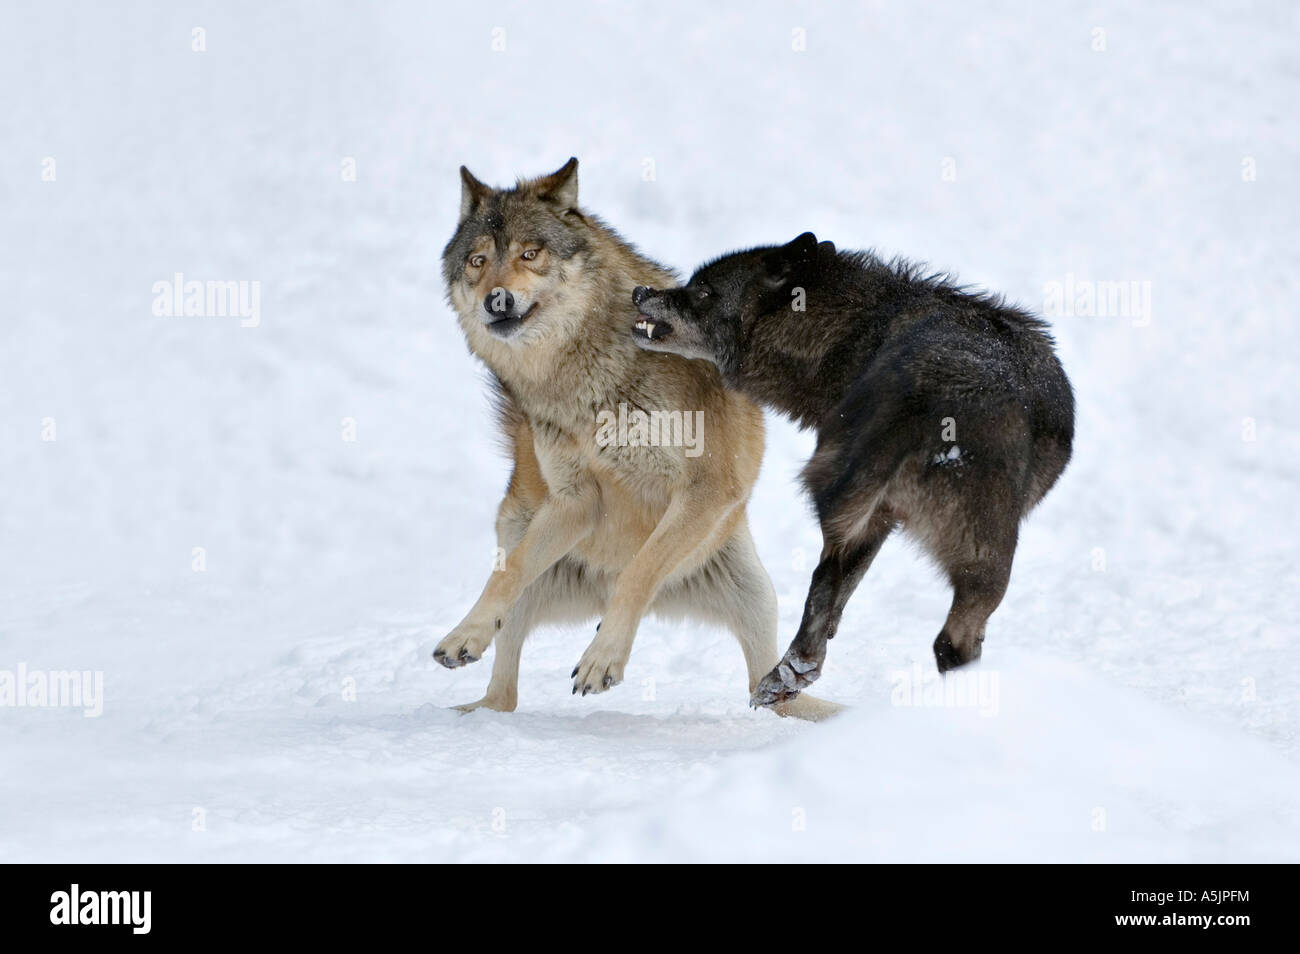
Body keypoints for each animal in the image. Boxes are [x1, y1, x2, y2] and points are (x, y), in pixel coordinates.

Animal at [436, 161, 839, 720]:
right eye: (477, 261)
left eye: (529, 254)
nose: (496, 300)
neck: (583, 385)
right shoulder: (575, 501)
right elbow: (508, 574)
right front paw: (463, 635)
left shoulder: (706, 491)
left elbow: (639, 570)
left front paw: (602, 658)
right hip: (521, 533)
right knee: (505, 689)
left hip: (756, 592)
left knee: (764, 684)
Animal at [631, 232, 1075, 707]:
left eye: (702, 292)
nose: (639, 291)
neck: (851, 332)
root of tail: (925, 397)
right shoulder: (877, 516)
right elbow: (840, 592)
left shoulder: (876, 516)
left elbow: (839, 595)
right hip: (975, 552)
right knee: (936, 634)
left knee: (860, 598)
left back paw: (792, 676)